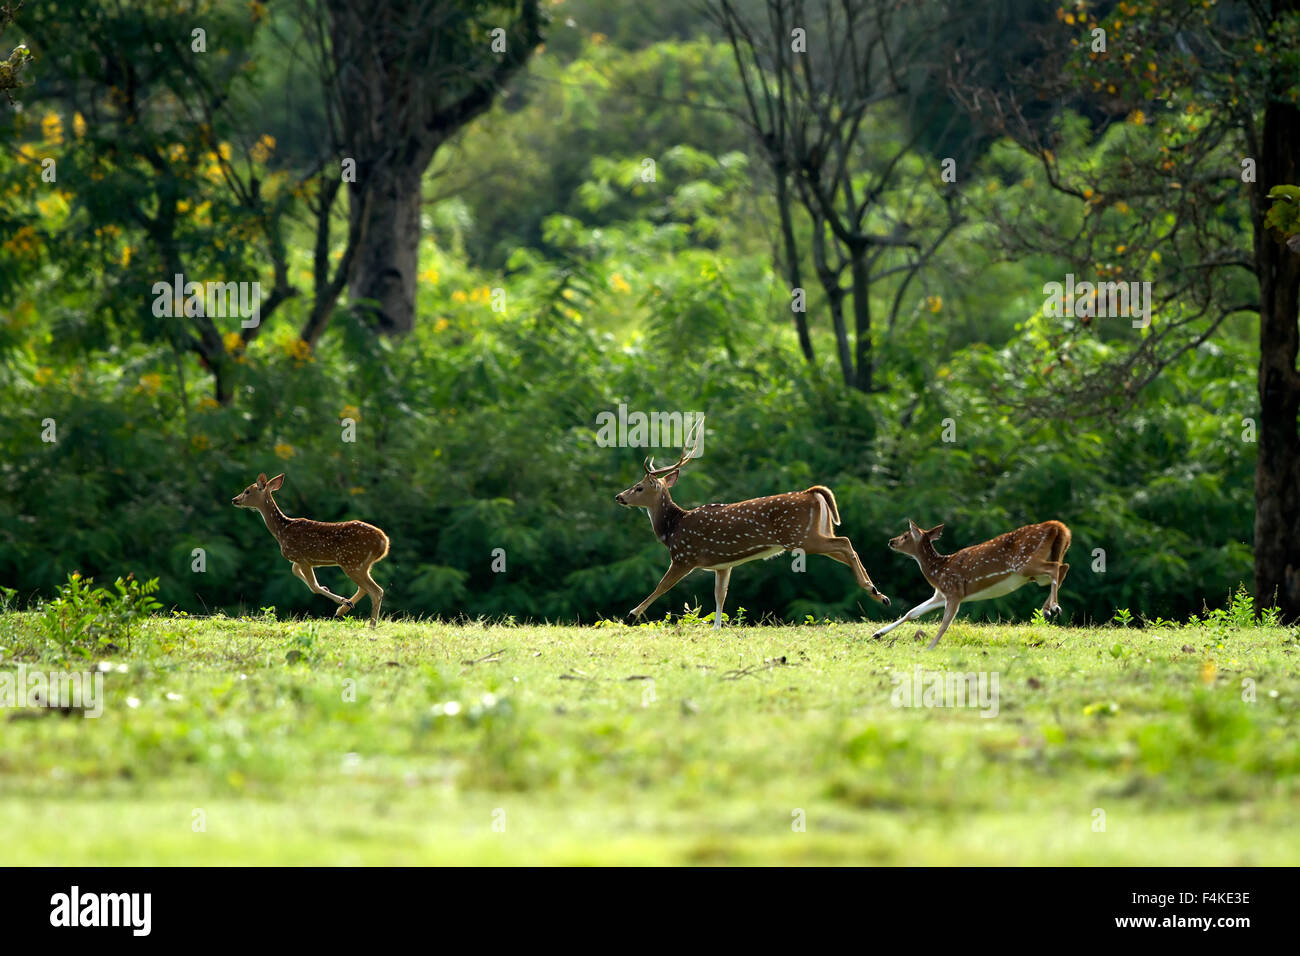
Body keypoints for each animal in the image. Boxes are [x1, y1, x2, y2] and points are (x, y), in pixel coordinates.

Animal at [232, 473, 389, 626]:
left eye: (247, 491)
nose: (234, 499)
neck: (282, 531)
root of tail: (384, 542)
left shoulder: (301, 557)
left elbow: (313, 586)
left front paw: (339, 598)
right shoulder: (301, 560)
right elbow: (296, 572)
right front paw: (334, 594)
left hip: (352, 562)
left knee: (376, 591)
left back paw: (370, 624)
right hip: (364, 564)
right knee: (366, 588)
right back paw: (343, 610)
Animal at [614, 440, 890, 629]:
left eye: (638, 487)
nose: (619, 497)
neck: (672, 529)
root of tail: (811, 493)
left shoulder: (684, 556)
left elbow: (661, 586)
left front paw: (631, 615)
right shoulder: (722, 565)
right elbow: (720, 595)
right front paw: (717, 627)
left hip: (800, 536)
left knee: (845, 542)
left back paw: (873, 589)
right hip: (815, 531)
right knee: (846, 546)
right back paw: (879, 594)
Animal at [872, 519, 1071, 649]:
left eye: (906, 535)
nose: (891, 541)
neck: (937, 571)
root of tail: (1057, 527)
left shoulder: (954, 591)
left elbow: (945, 623)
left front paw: (930, 647)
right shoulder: (940, 594)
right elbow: (912, 613)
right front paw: (877, 633)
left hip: (1024, 562)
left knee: (1056, 567)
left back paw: (1054, 607)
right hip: (1037, 570)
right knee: (1063, 567)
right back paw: (1047, 609)